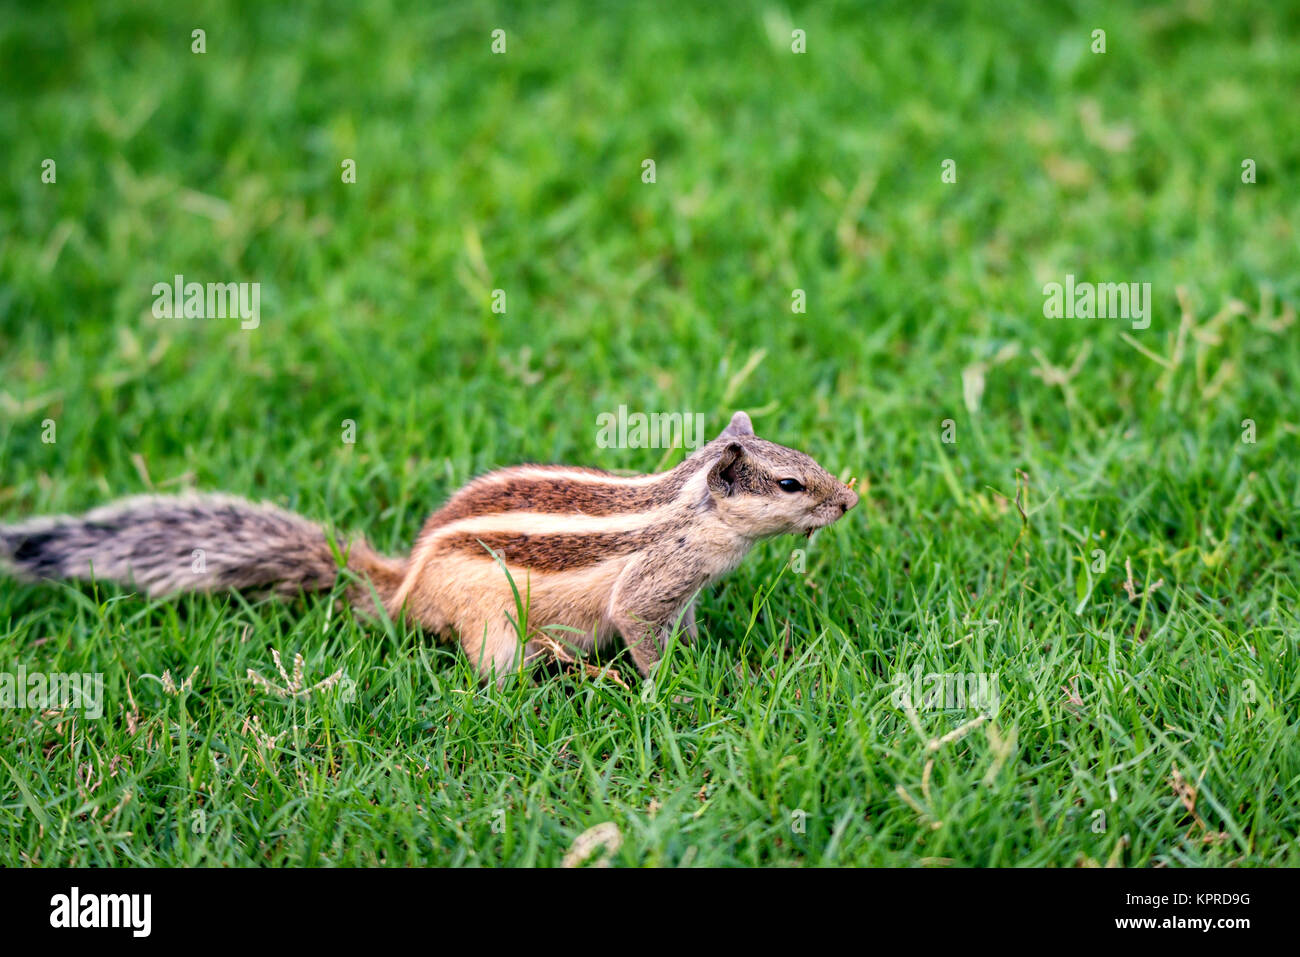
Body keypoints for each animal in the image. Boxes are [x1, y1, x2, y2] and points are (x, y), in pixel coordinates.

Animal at [0, 411, 858, 682]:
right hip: (492, 622)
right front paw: (676, 684)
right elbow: (642, 632)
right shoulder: (653, 583)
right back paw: (568, 670)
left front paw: (710, 656)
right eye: (791, 482)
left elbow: (684, 624)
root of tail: (402, 584)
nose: (849, 498)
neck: (688, 510)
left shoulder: (685, 590)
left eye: (806, 460)